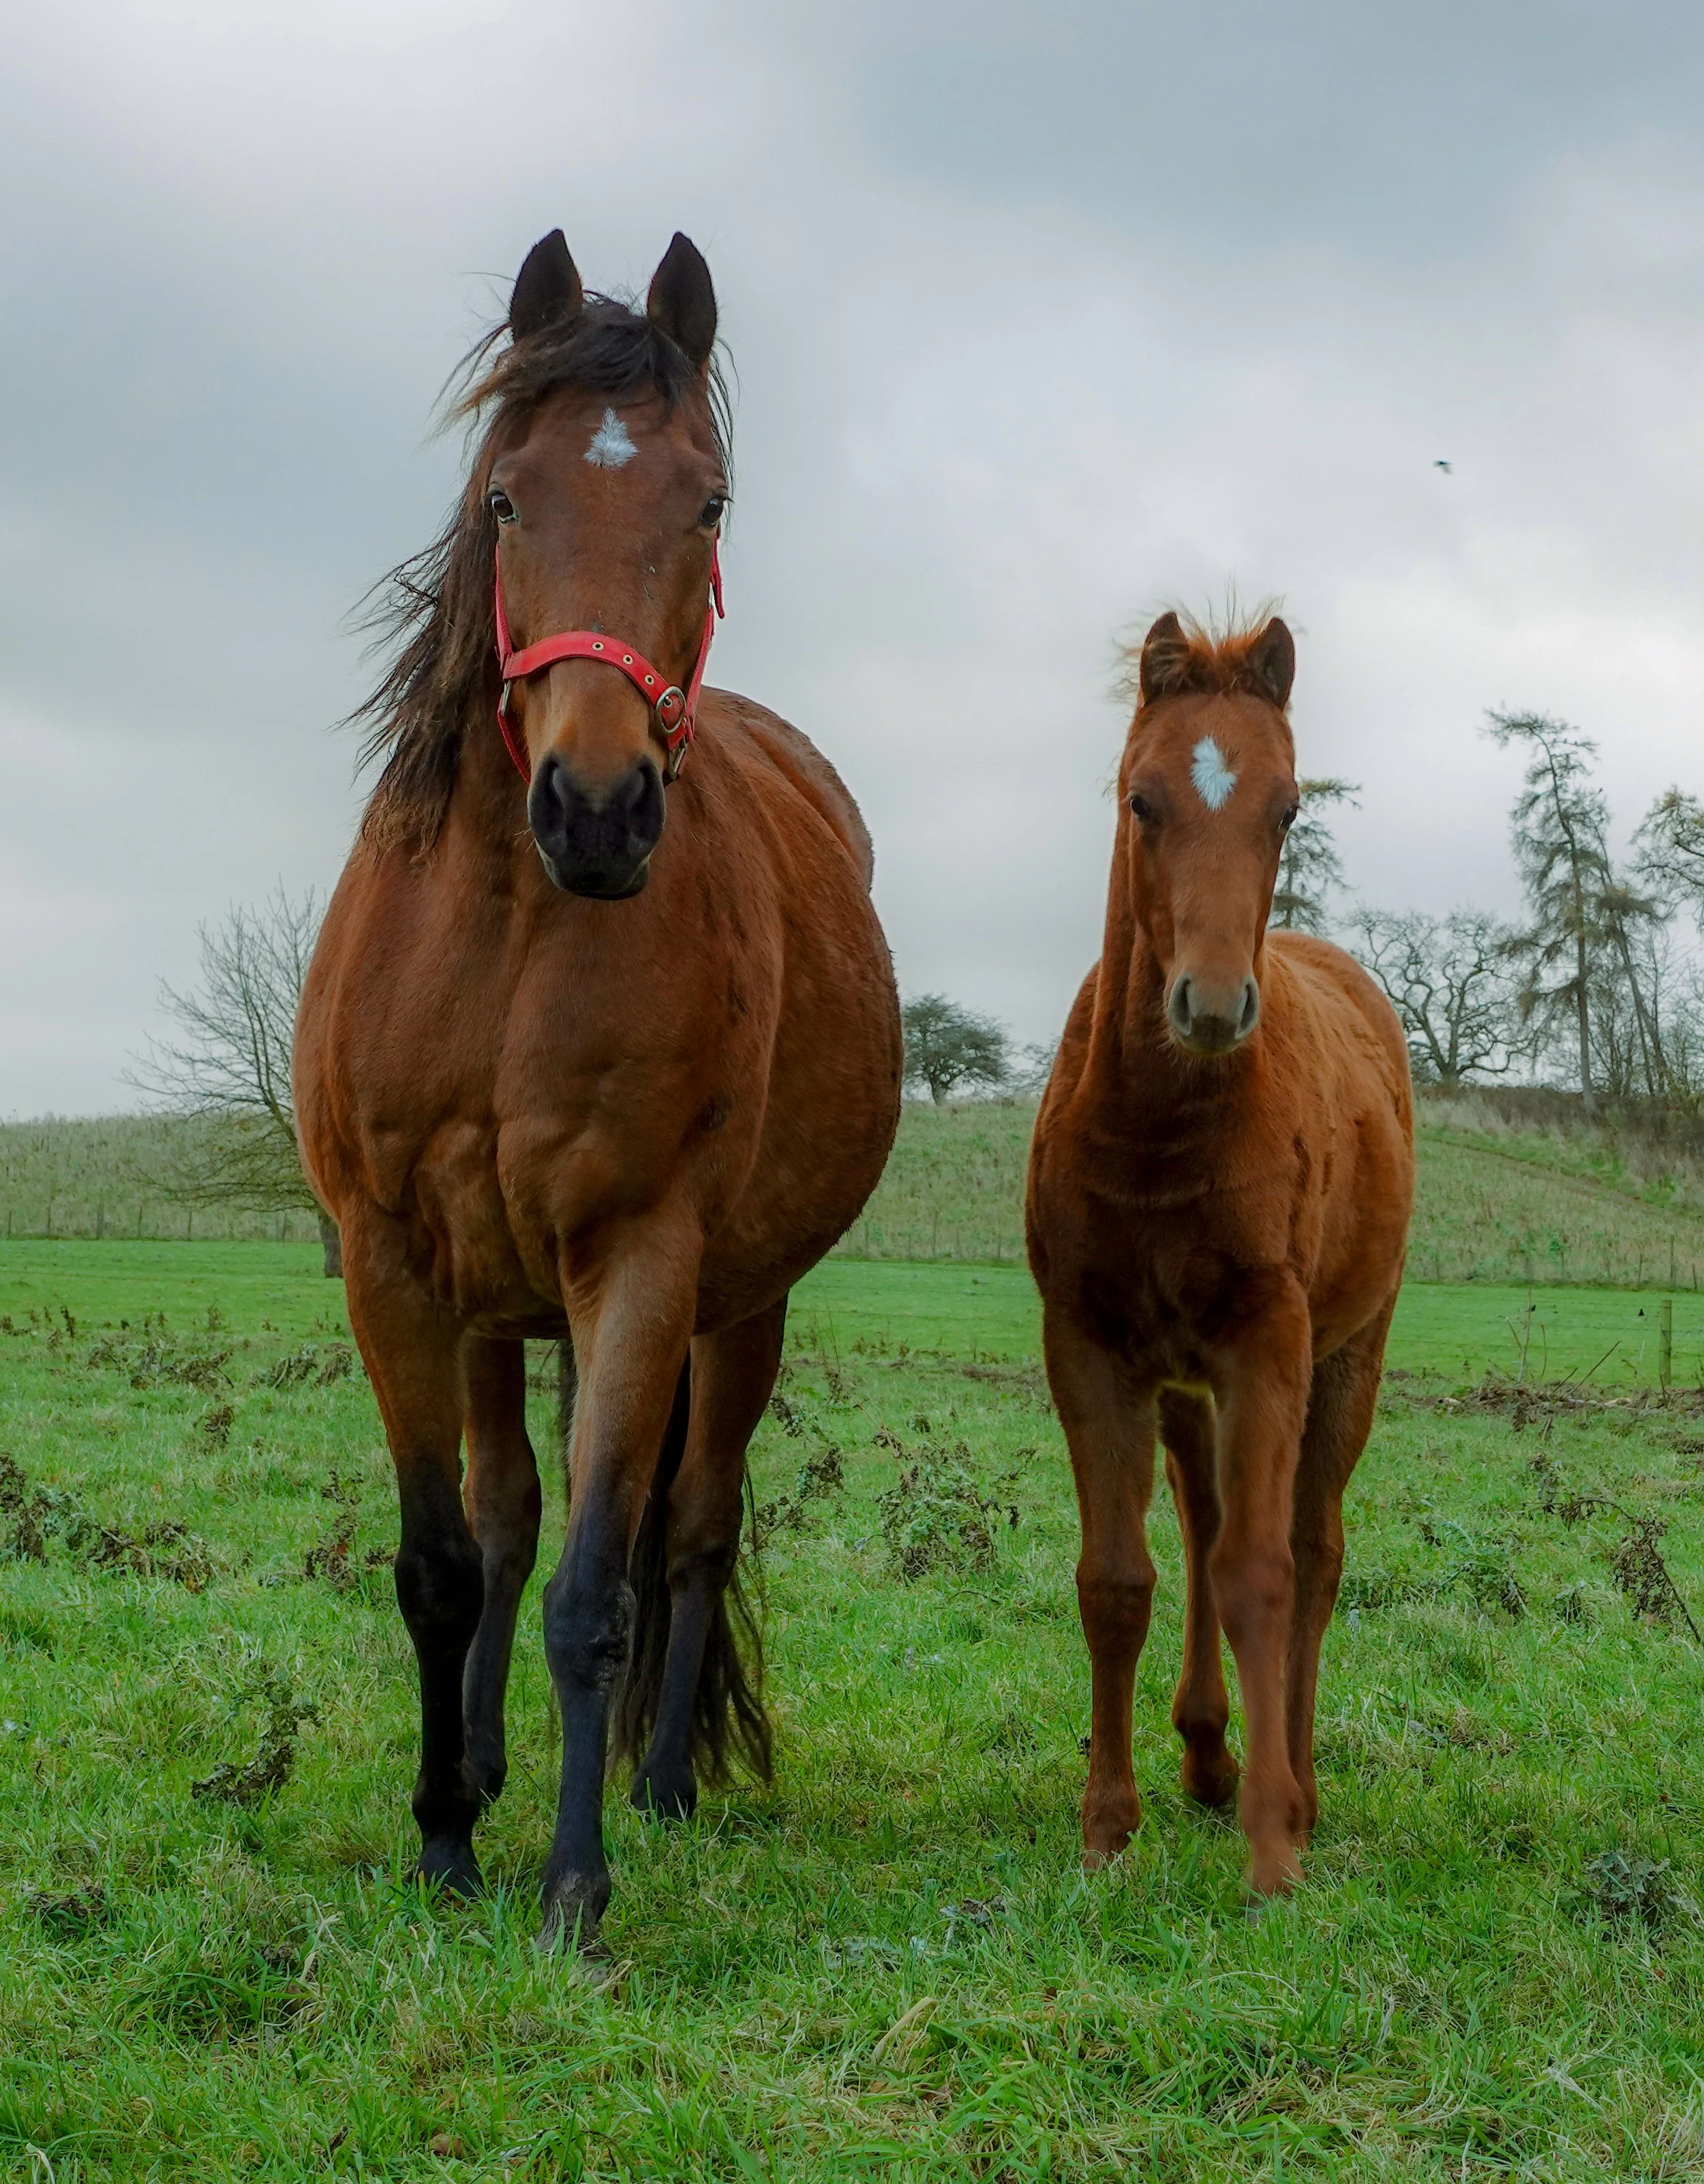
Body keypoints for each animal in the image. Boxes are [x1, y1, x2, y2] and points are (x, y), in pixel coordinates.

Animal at [293, 229, 902, 1947]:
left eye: (708, 504)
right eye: (509, 497)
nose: (599, 805)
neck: (511, 925)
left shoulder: (638, 1262)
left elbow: (596, 1585)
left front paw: (574, 1881)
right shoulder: (393, 1266)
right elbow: (446, 1560)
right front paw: (443, 1830)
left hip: (736, 1307)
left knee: (680, 1535)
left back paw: (663, 1782)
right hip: (495, 1303)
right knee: (505, 1518)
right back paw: (490, 1760)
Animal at [1024, 611, 1413, 1898]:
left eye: (1287, 809)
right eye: (1141, 800)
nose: (1208, 1005)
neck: (1160, 1129)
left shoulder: (1268, 1341)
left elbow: (1263, 1572)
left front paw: (1273, 1850)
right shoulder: (1091, 1343)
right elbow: (1116, 1580)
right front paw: (1107, 1828)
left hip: (1346, 1358)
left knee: (1310, 1549)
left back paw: (1293, 1785)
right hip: (1184, 1377)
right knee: (1197, 1519)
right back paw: (1205, 1753)